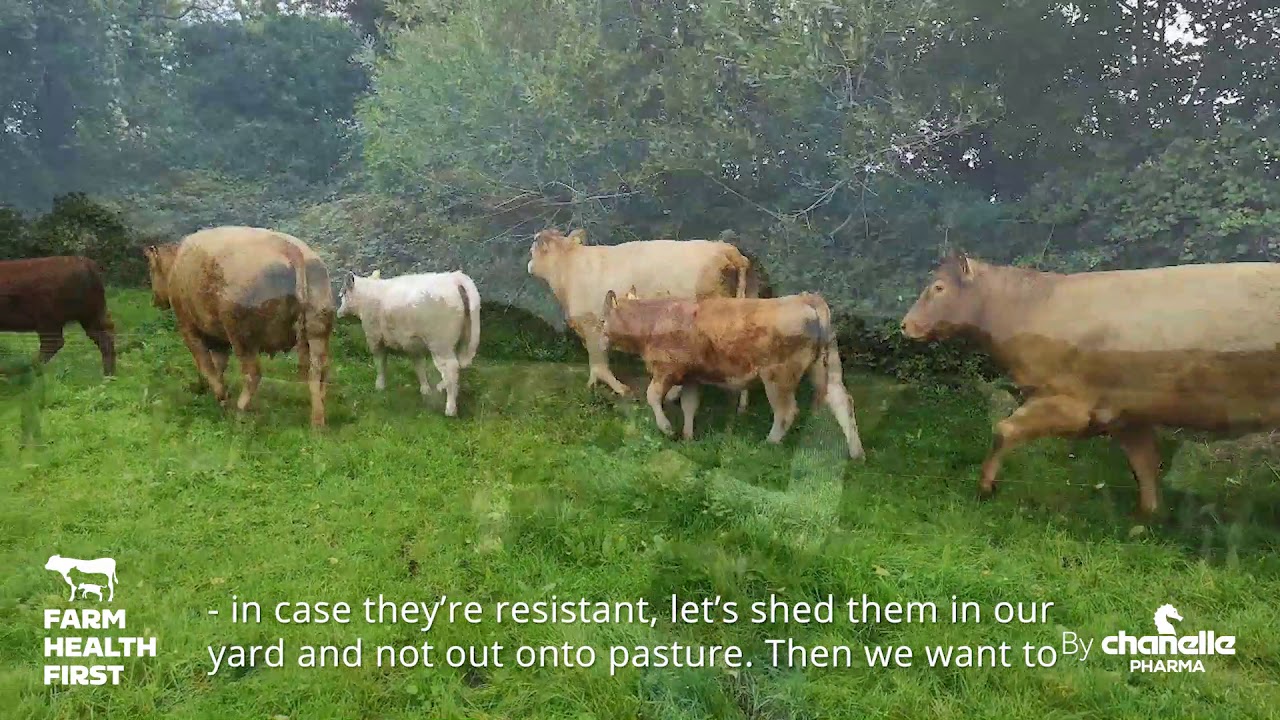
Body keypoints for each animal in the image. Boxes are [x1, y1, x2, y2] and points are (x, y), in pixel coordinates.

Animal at [143, 226, 335, 427]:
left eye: (151, 269)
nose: (154, 300)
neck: (176, 264)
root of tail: (290, 250)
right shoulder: (219, 339)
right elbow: (219, 365)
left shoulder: (189, 328)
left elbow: (206, 365)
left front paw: (220, 396)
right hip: (318, 331)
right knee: (319, 373)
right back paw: (317, 422)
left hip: (242, 336)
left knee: (253, 373)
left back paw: (240, 410)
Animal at [337, 269, 481, 417]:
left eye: (342, 294)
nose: (338, 312)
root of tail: (455, 278)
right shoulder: (413, 344)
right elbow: (419, 366)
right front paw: (425, 389)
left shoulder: (374, 338)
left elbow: (380, 364)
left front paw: (380, 386)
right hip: (465, 336)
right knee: (460, 364)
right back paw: (442, 387)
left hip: (440, 343)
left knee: (451, 369)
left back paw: (450, 409)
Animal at [527, 227, 760, 410]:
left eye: (533, 248)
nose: (529, 262)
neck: (568, 268)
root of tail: (727, 250)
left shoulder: (591, 325)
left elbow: (598, 360)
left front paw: (612, 388)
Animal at [600, 288, 864, 458]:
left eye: (604, 318)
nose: (601, 337)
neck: (655, 319)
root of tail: (806, 298)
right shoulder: (692, 376)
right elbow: (689, 405)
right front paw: (688, 437)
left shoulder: (667, 370)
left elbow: (652, 396)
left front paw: (666, 428)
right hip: (826, 368)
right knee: (842, 401)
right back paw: (857, 453)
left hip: (778, 377)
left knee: (786, 411)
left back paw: (768, 444)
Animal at [899, 251, 1280, 516]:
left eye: (938, 287)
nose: (904, 324)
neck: (1029, 308)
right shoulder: (1124, 412)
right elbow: (1145, 463)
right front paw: (1147, 518)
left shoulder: (1071, 401)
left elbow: (1004, 429)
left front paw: (985, 486)